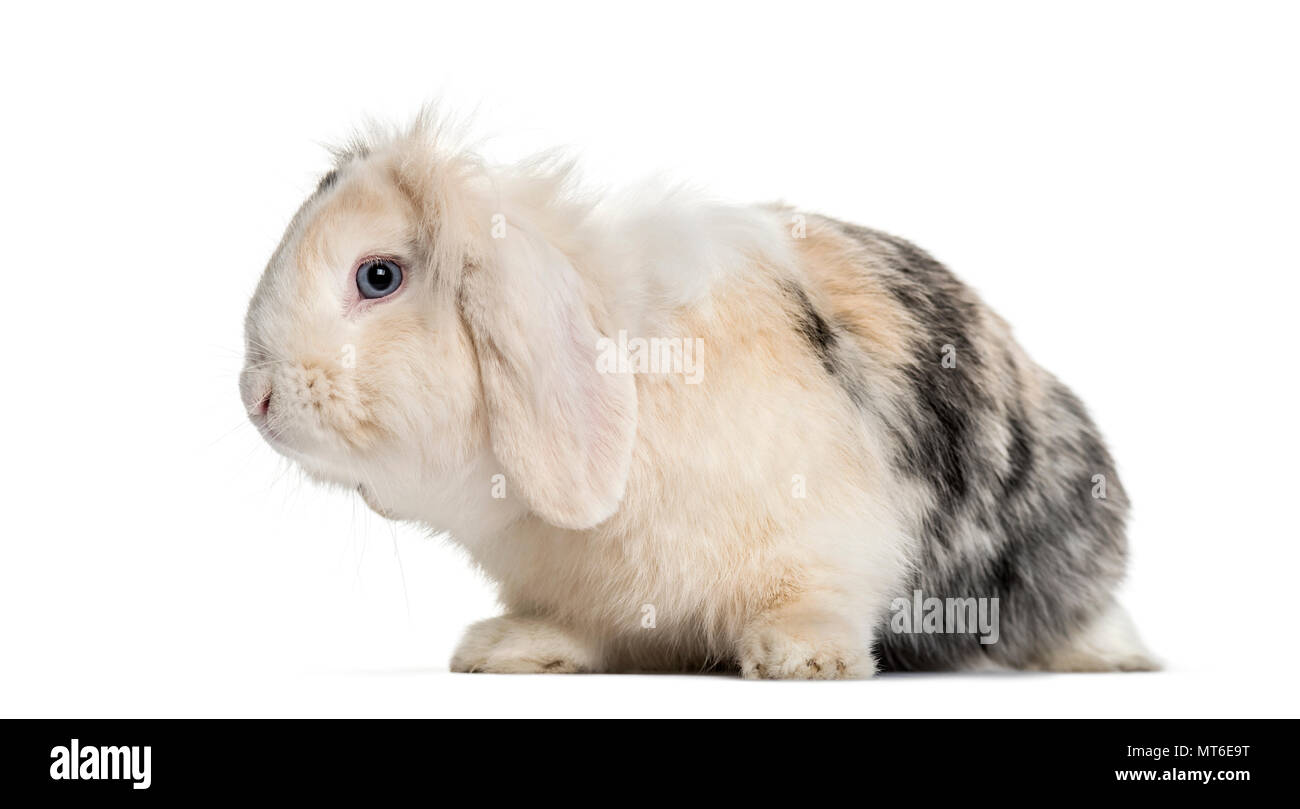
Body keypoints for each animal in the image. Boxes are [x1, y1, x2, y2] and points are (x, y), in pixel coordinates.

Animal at [240, 111, 1157, 678]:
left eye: (379, 276)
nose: (255, 394)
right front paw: (505, 647)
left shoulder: (829, 537)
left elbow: (819, 594)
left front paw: (802, 661)